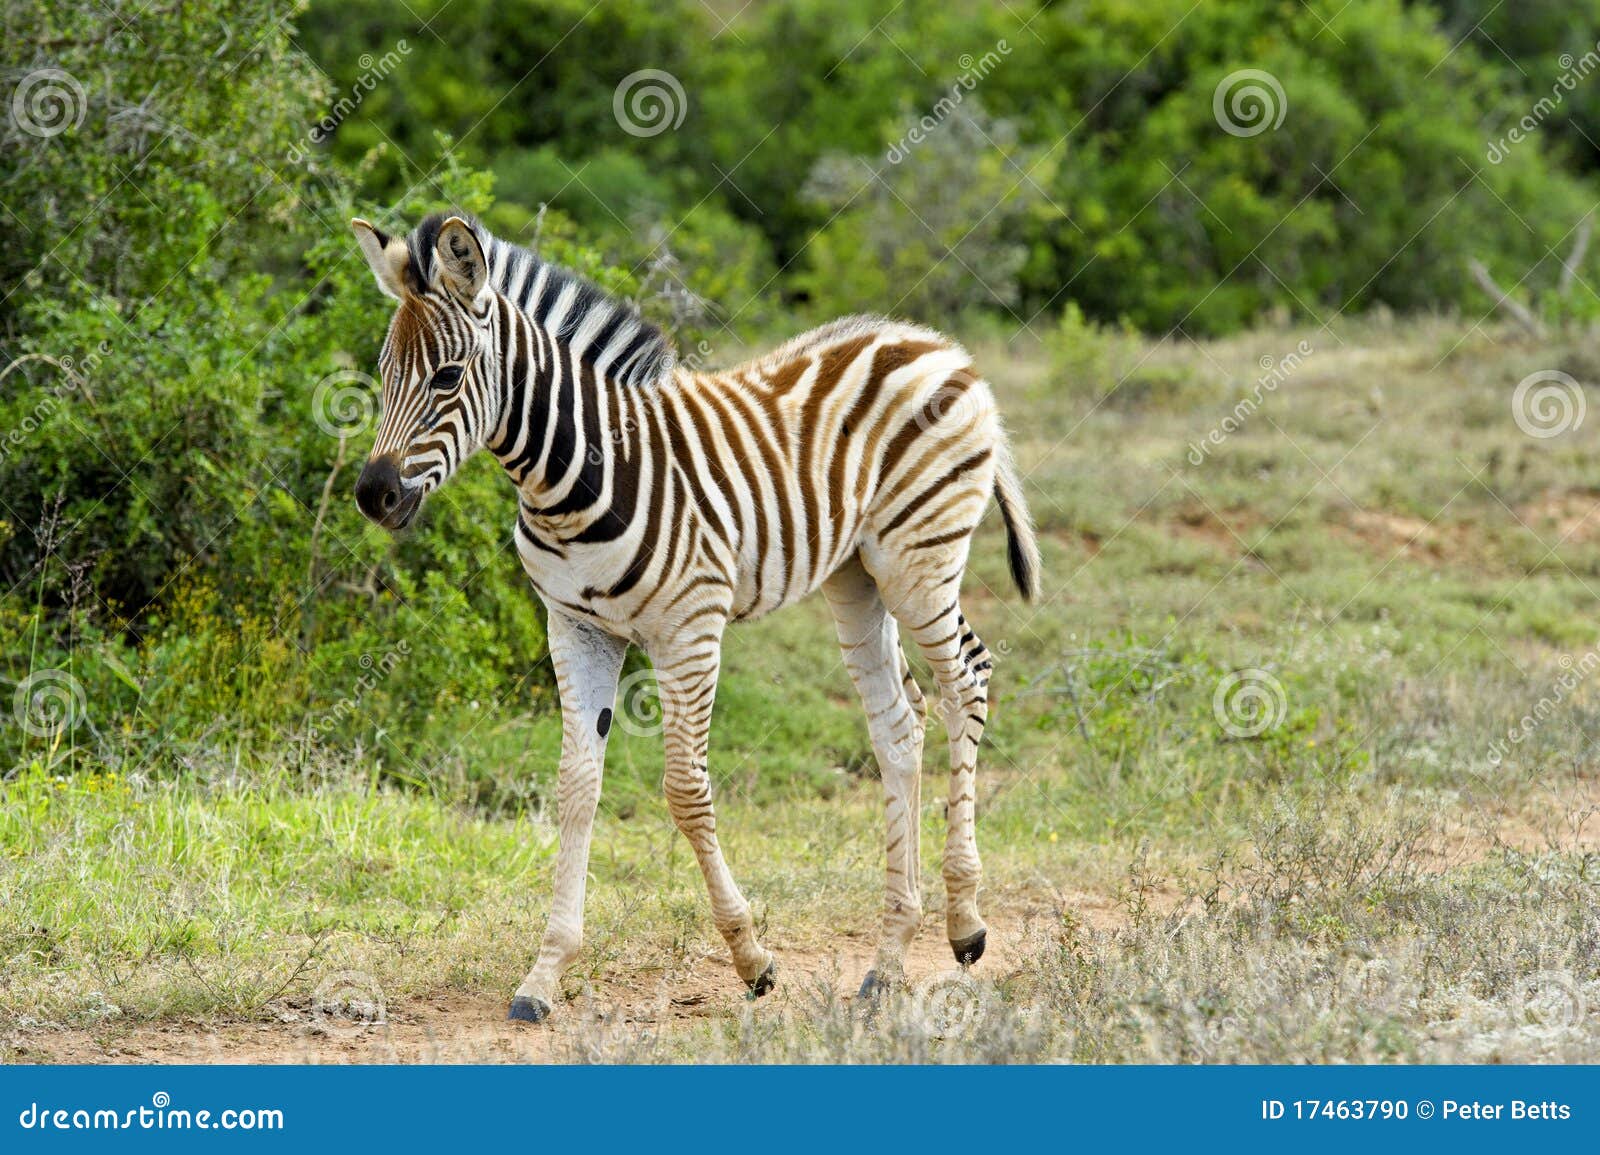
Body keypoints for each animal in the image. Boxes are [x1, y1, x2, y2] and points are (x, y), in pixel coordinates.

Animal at [348, 211, 1041, 1022]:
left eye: (447, 377)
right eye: (384, 372)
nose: (373, 496)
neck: (570, 481)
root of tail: (933, 343)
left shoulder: (690, 629)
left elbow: (684, 789)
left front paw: (752, 959)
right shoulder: (576, 627)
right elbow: (575, 786)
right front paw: (544, 974)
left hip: (920, 557)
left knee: (968, 680)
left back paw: (964, 922)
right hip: (857, 574)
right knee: (899, 723)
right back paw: (888, 957)